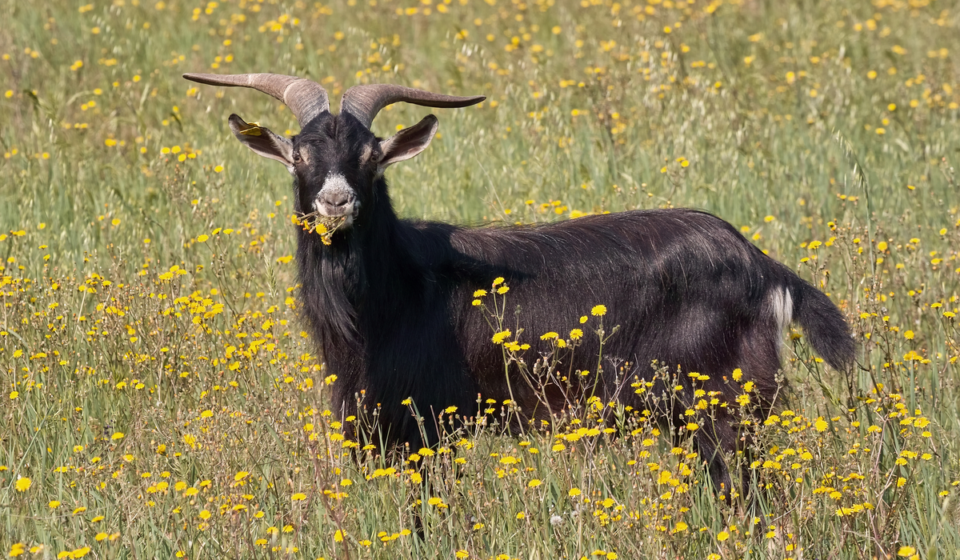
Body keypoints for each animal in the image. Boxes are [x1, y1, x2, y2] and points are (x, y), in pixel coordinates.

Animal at [184, 72, 856, 494]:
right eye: (298, 154)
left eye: (371, 155)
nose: (336, 202)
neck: (397, 290)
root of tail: (761, 264)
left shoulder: (432, 424)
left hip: (719, 405)